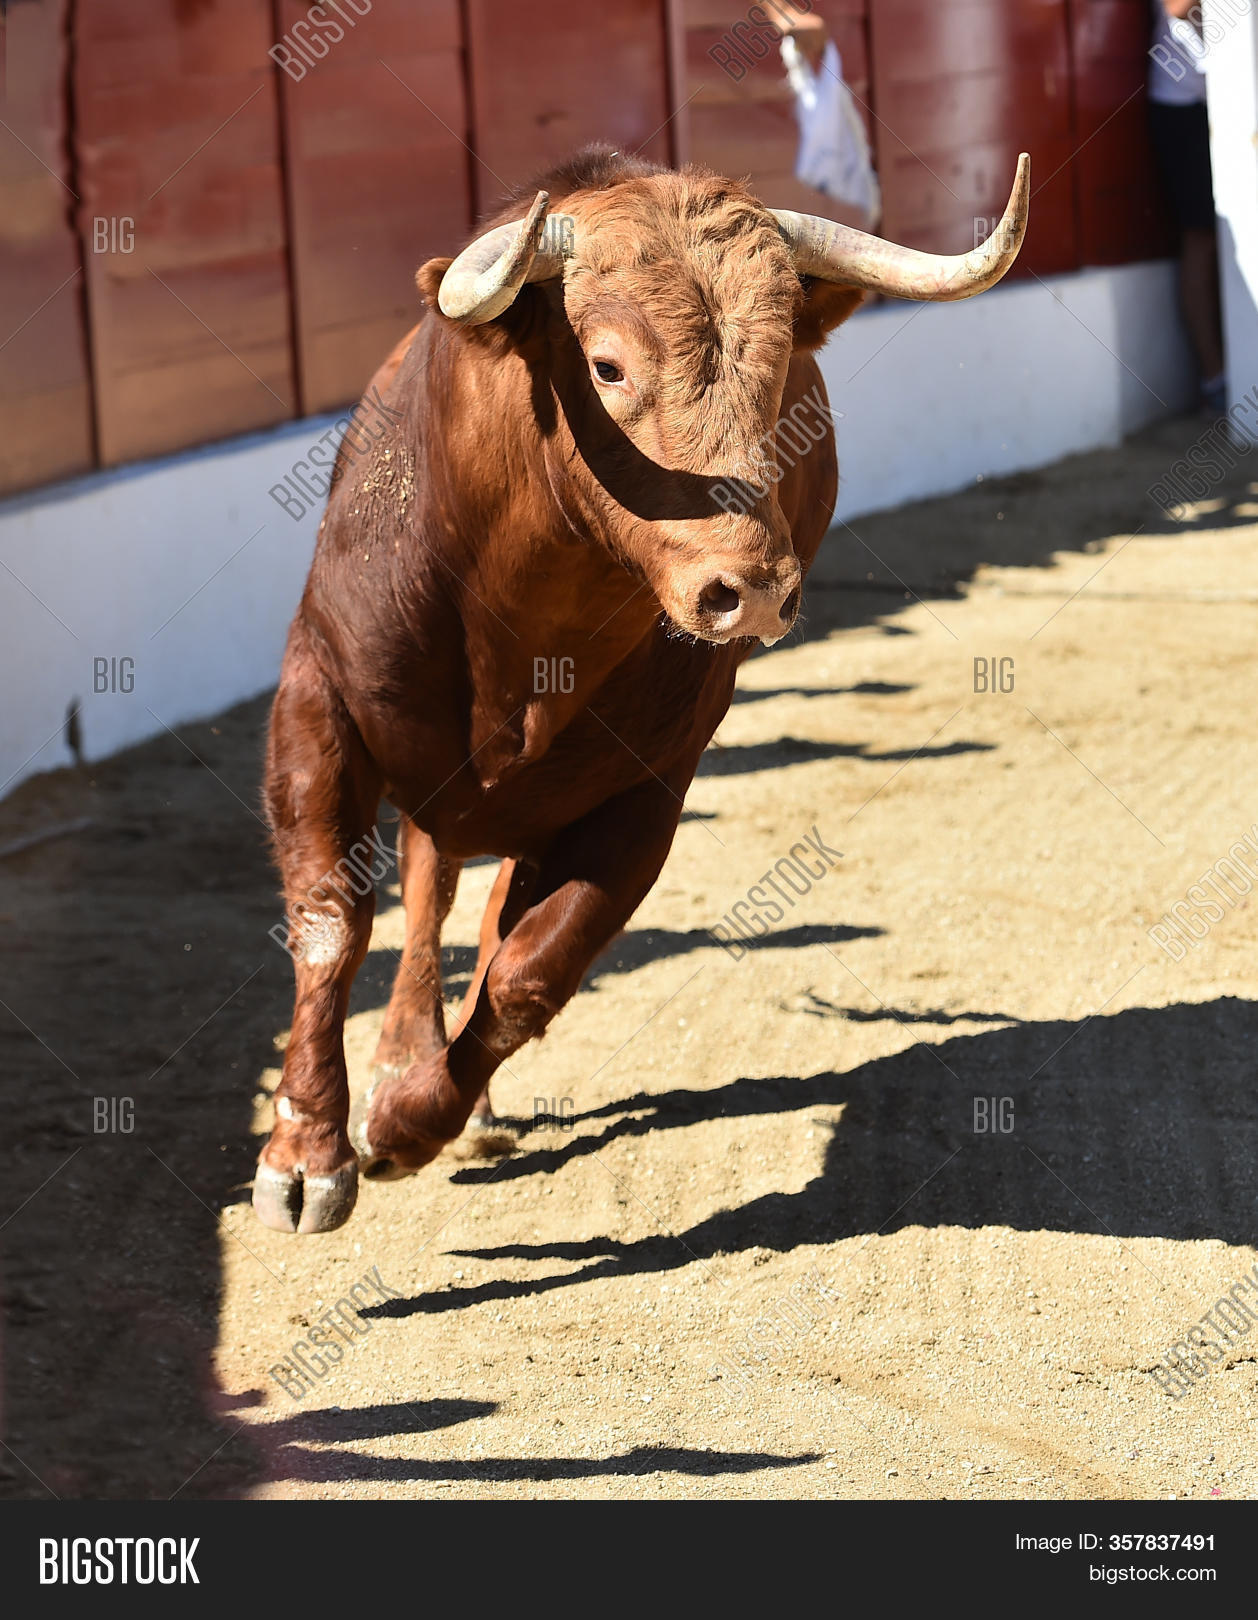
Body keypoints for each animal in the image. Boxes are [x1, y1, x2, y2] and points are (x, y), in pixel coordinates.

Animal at [252, 145, 1028, 1233]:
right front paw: (305, 1153)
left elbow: (530, 974)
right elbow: (330, 918)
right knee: (426, 882)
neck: (523, 617)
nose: (750, 588)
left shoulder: (646, 795)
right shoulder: (317, 702)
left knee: (478, 909)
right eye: (608, 366)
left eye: (782, 369)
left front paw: (407, 1119)